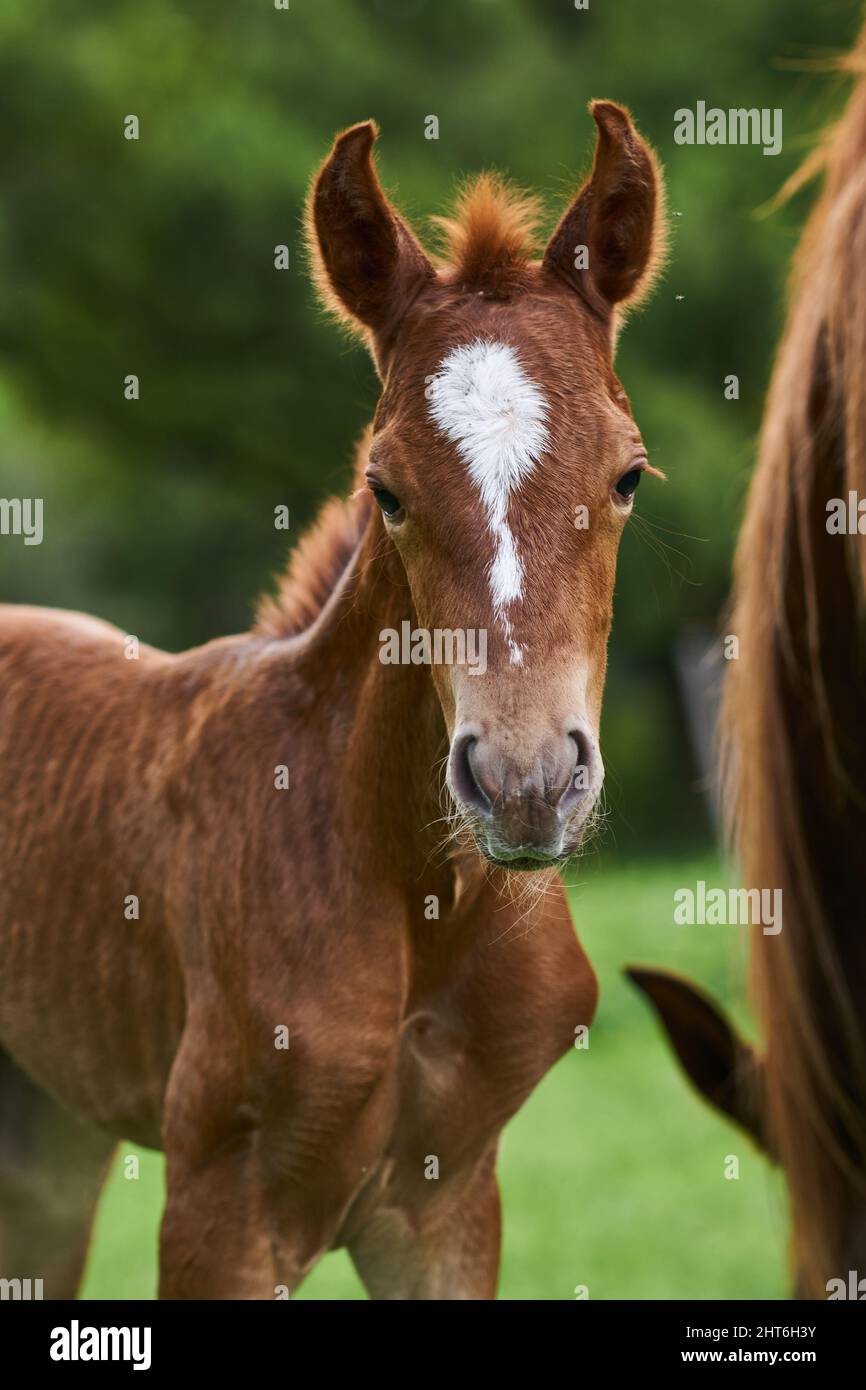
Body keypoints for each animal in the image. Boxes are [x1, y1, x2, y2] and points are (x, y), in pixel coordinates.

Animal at [0, 101, 665, 1299]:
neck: (417, 895)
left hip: (46, 1135)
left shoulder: (449, 1207)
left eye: (628, 475)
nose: (525, 783)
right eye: (384, 488)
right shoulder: (219, 1206)